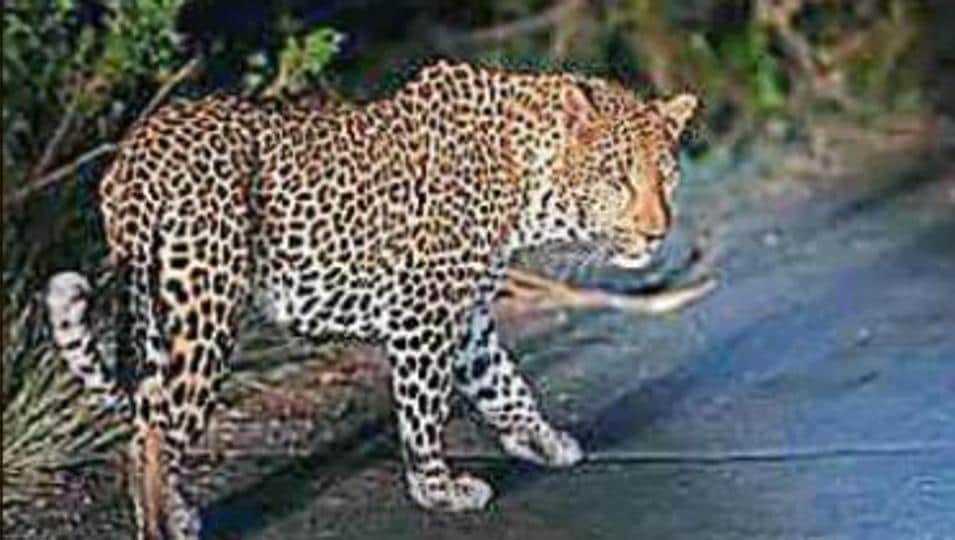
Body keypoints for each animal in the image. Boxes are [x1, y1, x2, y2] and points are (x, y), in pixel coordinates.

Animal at [45, 59, 699, 539]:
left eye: (667, 177)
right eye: (617, 178)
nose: (655, 233)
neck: (526, 179)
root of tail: (140, 149)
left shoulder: (467, 316)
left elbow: (504, 382)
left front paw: (540, 440)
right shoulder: (425, 311)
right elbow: (424, 408)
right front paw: (439, 489)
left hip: (159, 309)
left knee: (148, 417)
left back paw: (176, 512)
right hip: (205, 305)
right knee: (153, 432)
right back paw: (161, 522)